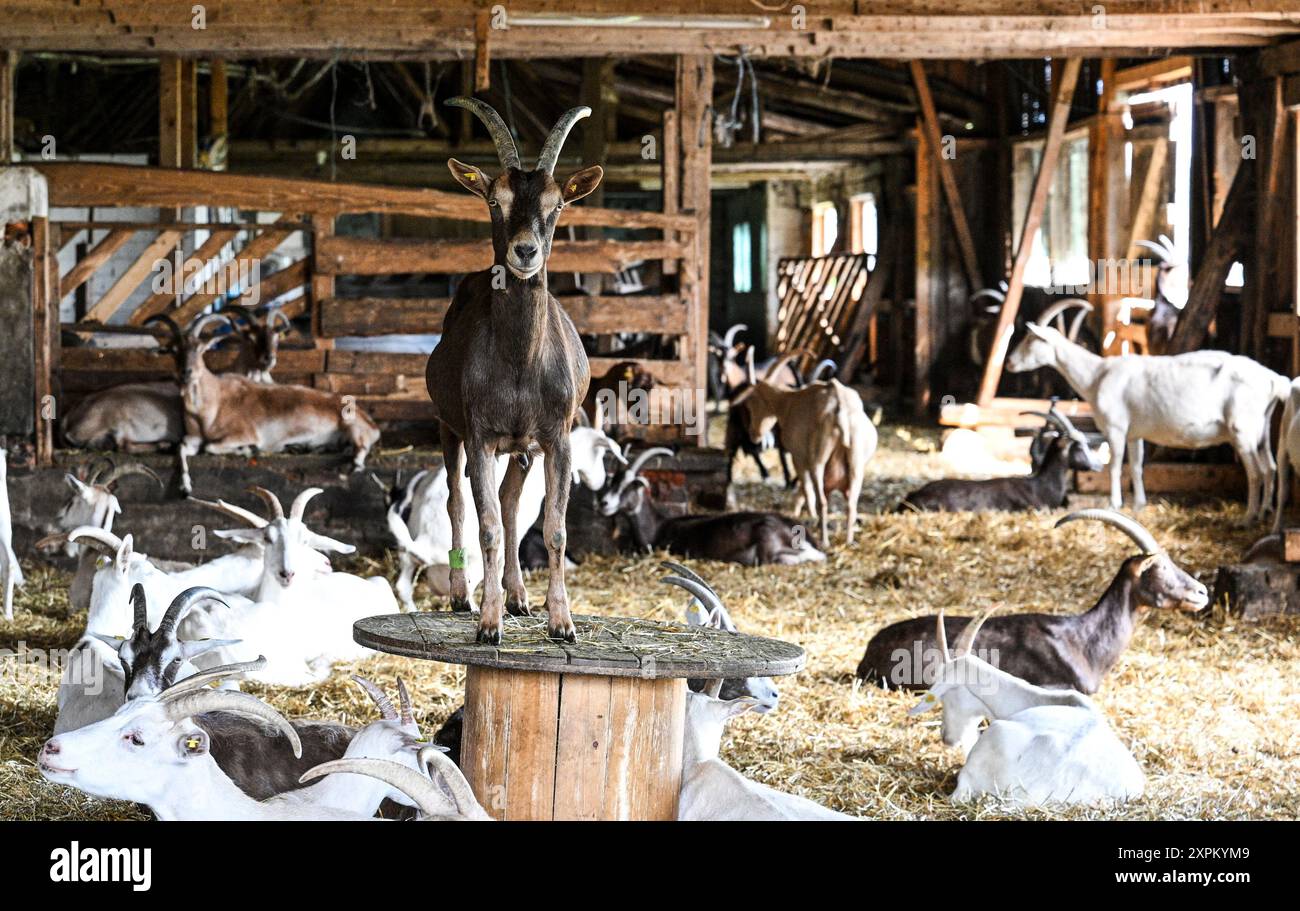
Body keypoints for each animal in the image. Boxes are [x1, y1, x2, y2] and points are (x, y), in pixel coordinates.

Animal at [177, 314, 380, 496]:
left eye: (201, 349)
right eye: (175, 350)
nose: (185, 373)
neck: (217, 400)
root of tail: (371, 423)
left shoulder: (245, 433)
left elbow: (210, 447)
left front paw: (248, 449)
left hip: (352, 426)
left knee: (362, 447)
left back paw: (354, 464)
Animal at [382, 427, 623, 611]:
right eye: (601, 455)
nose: (601, 481)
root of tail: (427, 539)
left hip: (407, 552)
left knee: (403, 586)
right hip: (472, 566)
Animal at [426, 97, 604, 644]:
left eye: (558, 204)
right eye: (493, 200)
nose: (525, 251)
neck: (521, 365)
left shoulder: (557, 437)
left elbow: (554, 527)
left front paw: (561, 621)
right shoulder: (480, 434)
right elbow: (484, 523)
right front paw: (488, 623)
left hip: (523, 448)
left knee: (509, 500)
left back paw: (519, 596)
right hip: (448, 428)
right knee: (458, 501)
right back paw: (463, 595)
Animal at [732, 357, 877, 546]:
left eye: (752, 402)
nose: (754, 435)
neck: (789, 401)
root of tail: (840, 410)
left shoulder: (798, 457)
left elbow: (806, 490)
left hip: (818, 461)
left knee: (821, 500)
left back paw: (824, 539)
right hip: (856, 465)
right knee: (851, 503)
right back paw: (848, 540)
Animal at [1006, 314, 1289, 524]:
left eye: (1030, 339)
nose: (1009, 363)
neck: (1097, 375)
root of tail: (1273, 379)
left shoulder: (1116, 428)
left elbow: (1115, 466)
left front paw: (1114, 504)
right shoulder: (1135, 433)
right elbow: (1136, 466)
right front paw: (1139, 505)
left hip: (1243, 430)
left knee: (1256, 472)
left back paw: (1248, 517)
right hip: (1262, 430)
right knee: (1270, 467)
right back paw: (1265, 512)